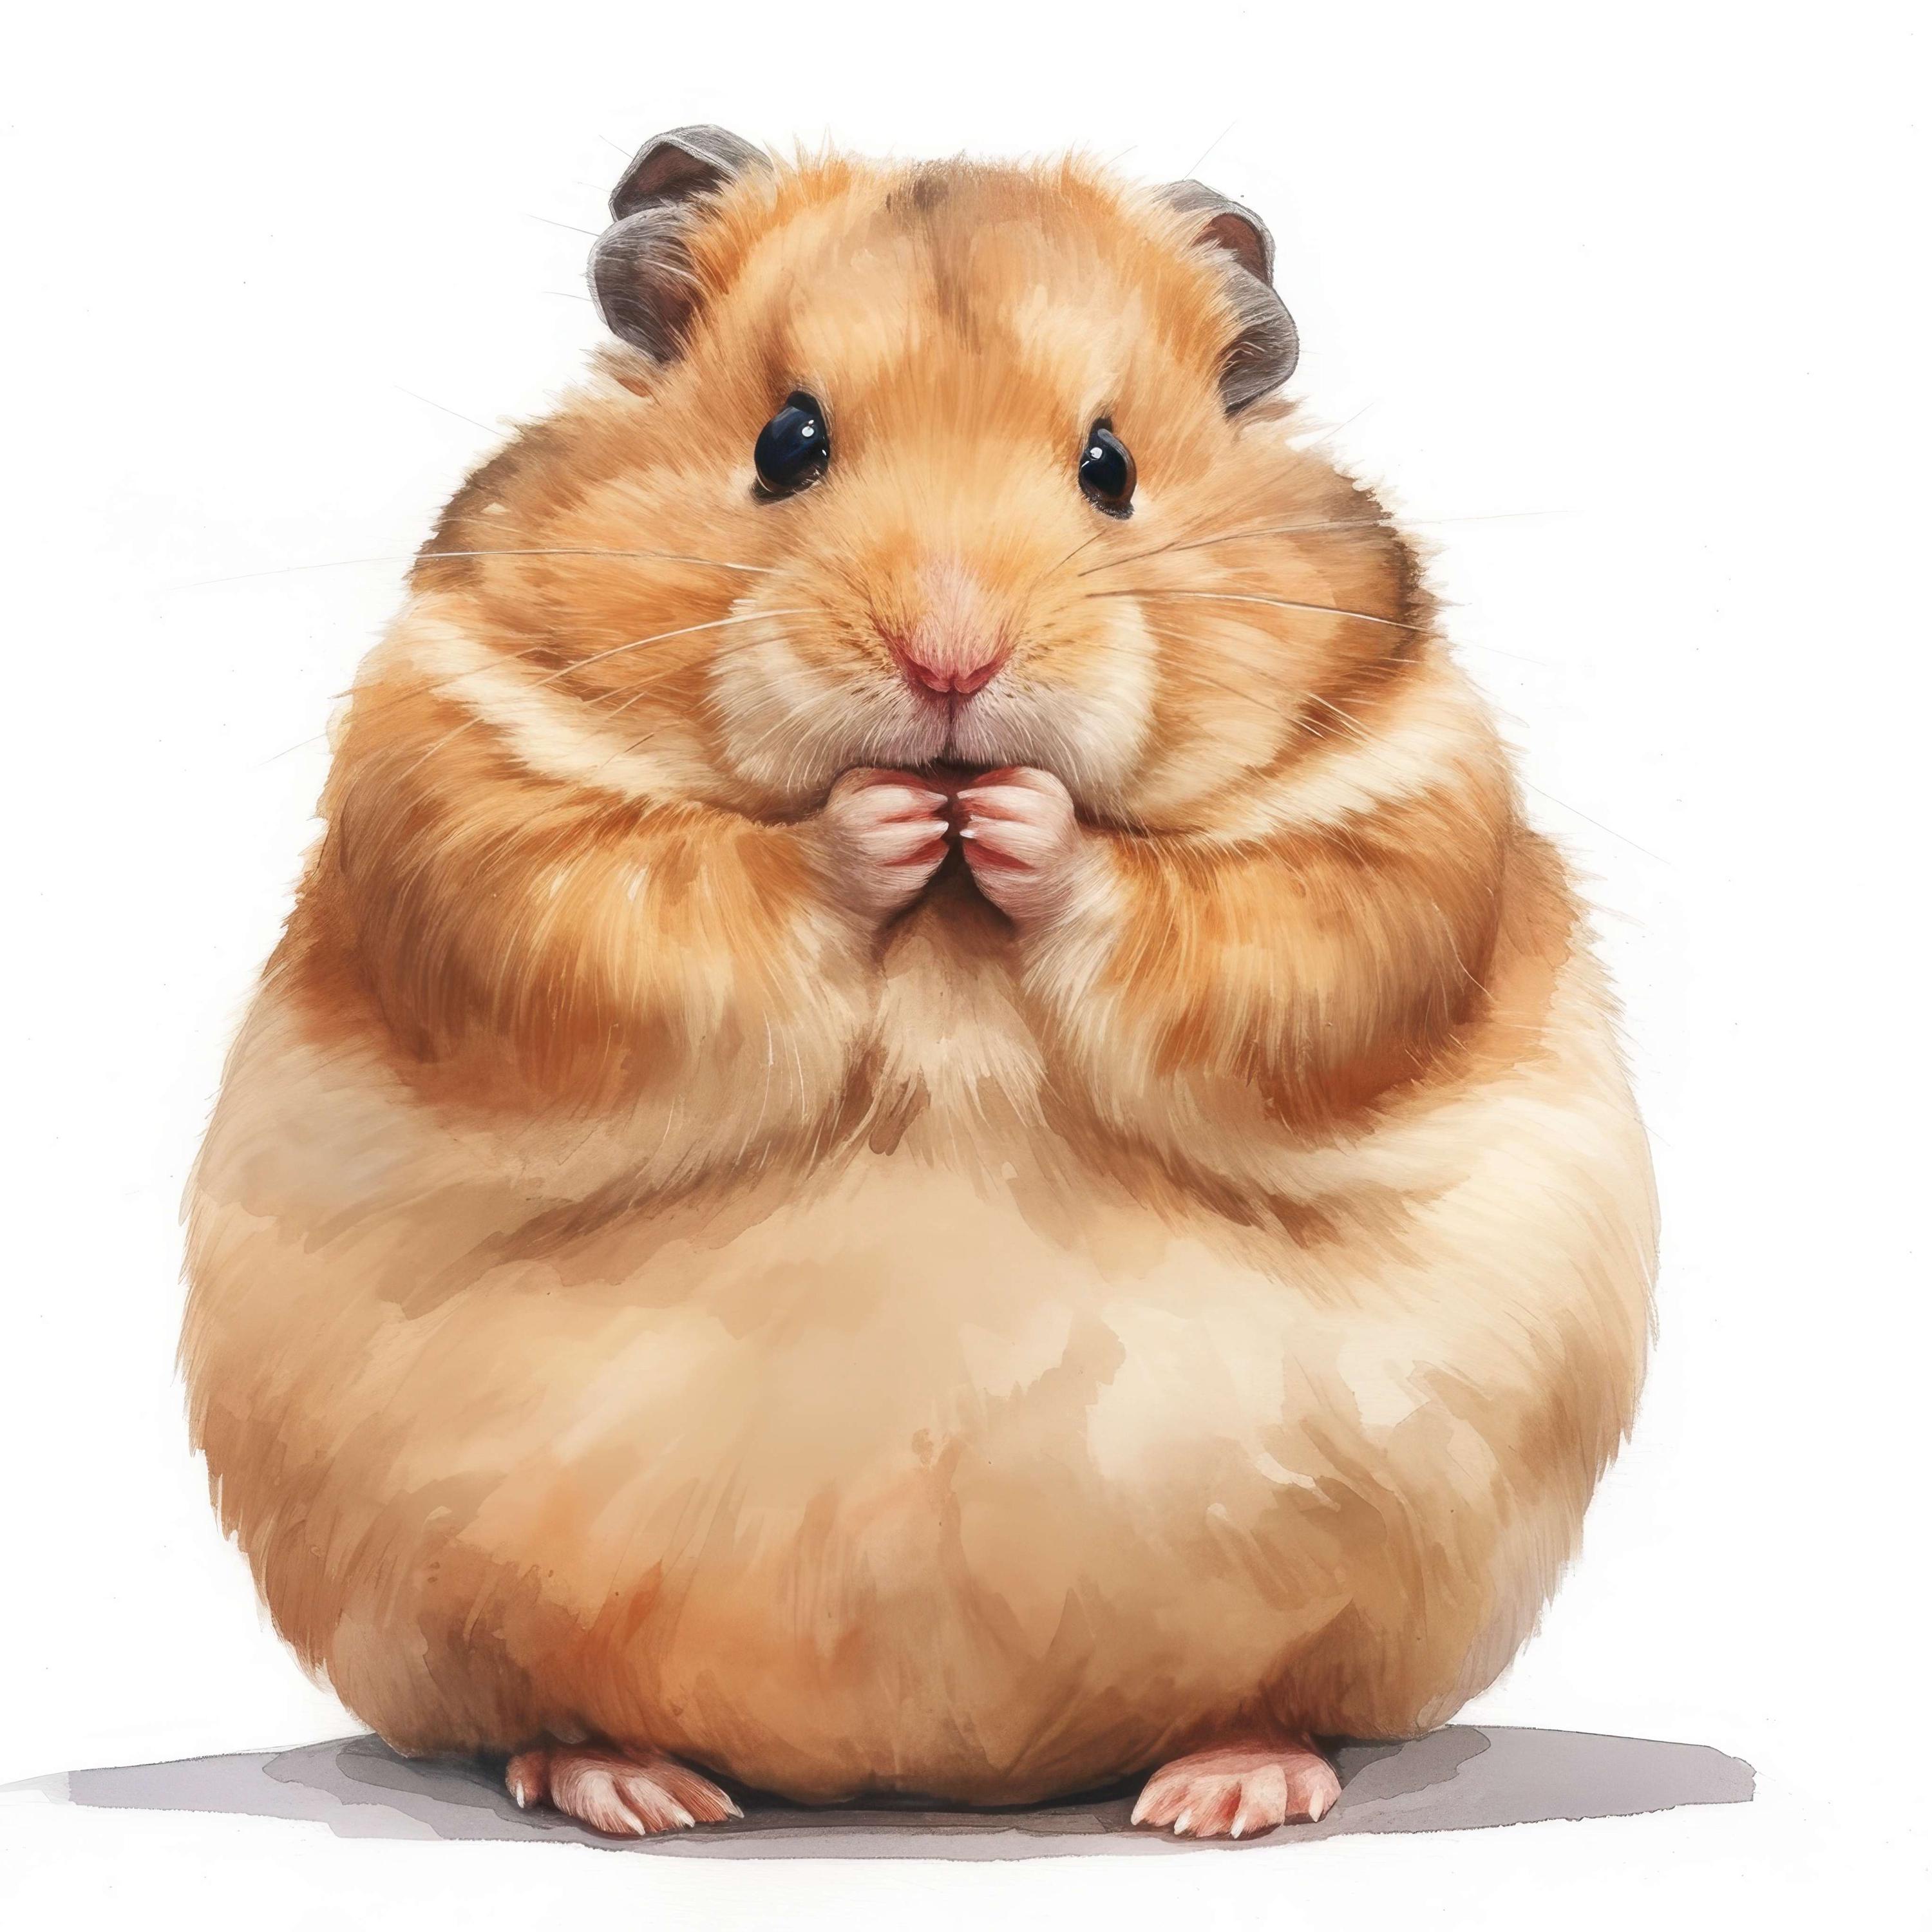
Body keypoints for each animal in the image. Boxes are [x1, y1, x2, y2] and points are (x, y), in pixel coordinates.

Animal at [182, 128, 1655, 1839]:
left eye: (1109, 466)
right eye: (787, 442)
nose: (949, 661)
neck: (951, 933)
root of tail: (941, 1773)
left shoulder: (1391, 830)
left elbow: (1236, 922)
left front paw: (1014, 823)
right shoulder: (474, 806)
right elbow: (657, 892)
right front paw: (882, 823)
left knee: (1284, 1705)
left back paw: (1220, 1788)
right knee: (538, 1706)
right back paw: (640, 1789)